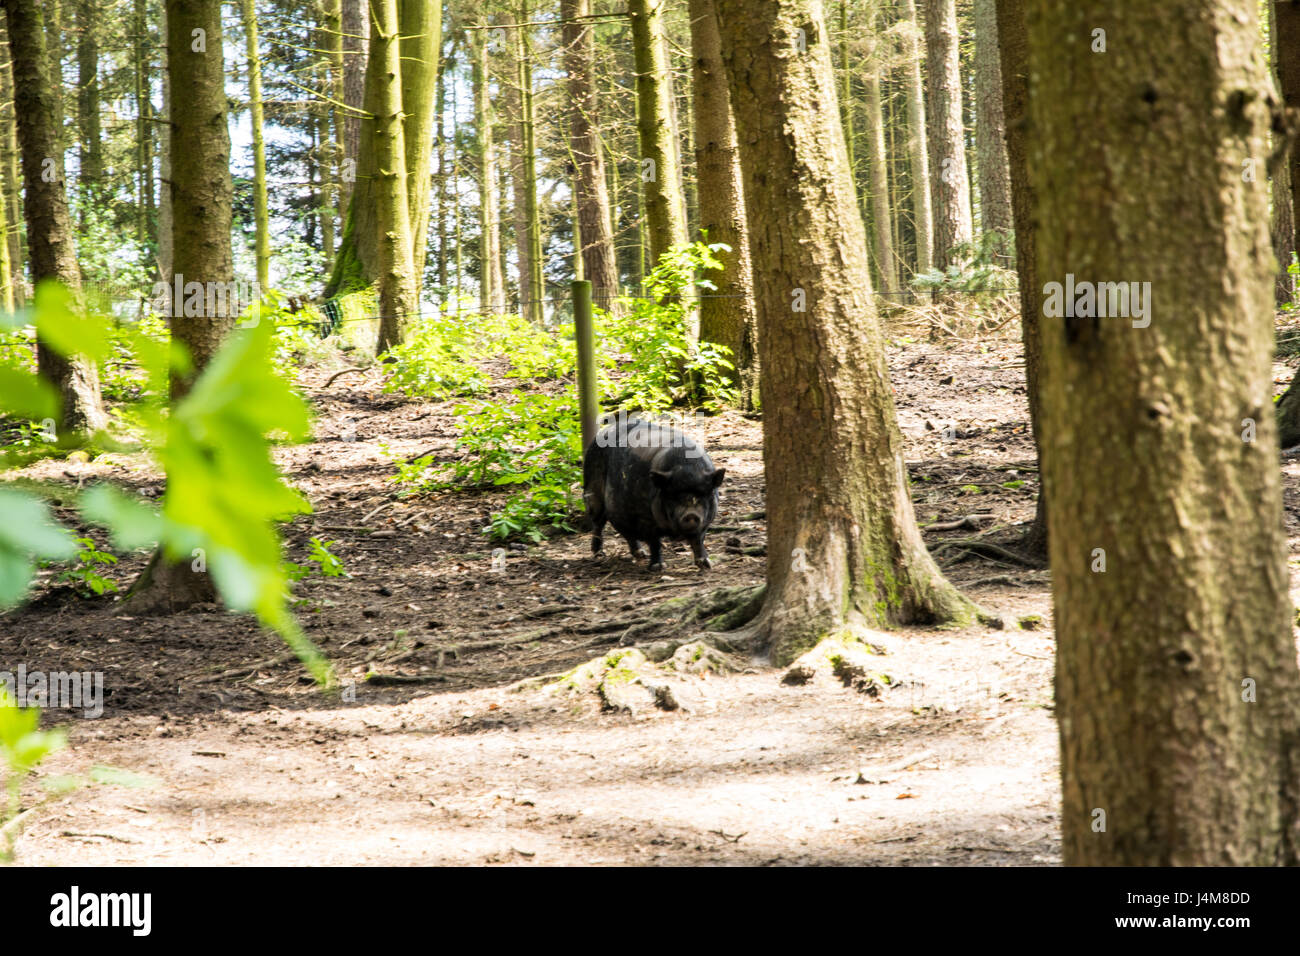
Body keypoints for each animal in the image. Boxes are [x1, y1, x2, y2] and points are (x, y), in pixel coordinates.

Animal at [583, 416, 726, 572]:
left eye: (703, 495)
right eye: (672, 496)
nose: (691, 514)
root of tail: (602, 433)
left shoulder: (705, 522)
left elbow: (698, 540)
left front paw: (706, 565)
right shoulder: (645, 517)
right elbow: (655, 542)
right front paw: (658, 567)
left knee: (625, 532)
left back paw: (641, 554)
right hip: (593, 491)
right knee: (598, 524)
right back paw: (599, 555)